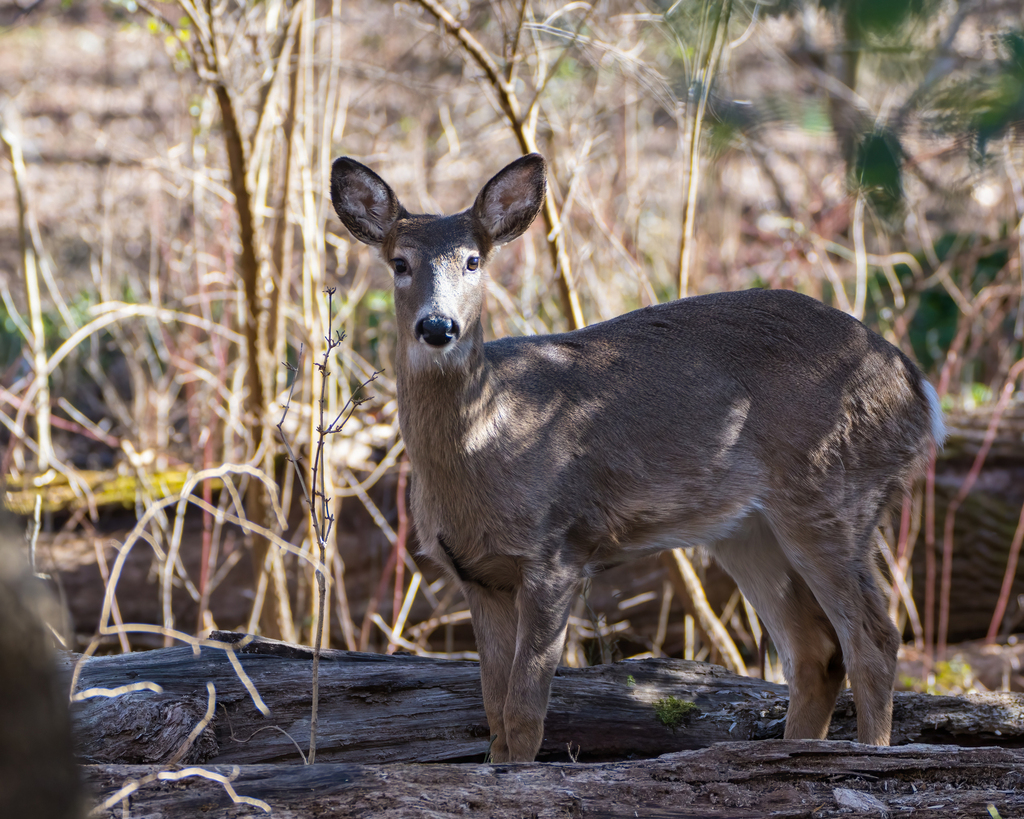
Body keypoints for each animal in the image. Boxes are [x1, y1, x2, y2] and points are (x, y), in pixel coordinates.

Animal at [330, 153, 945, 763]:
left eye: (474, 260)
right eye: (400, 262)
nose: (438, 326)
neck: (491, 441)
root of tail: (917, 389)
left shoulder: (556, 552)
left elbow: (523, 713)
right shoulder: (477, 573)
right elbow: (494, 714)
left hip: (833, 492)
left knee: (874, 638)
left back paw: (871, 752)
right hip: (748, 529)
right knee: (815, 652)